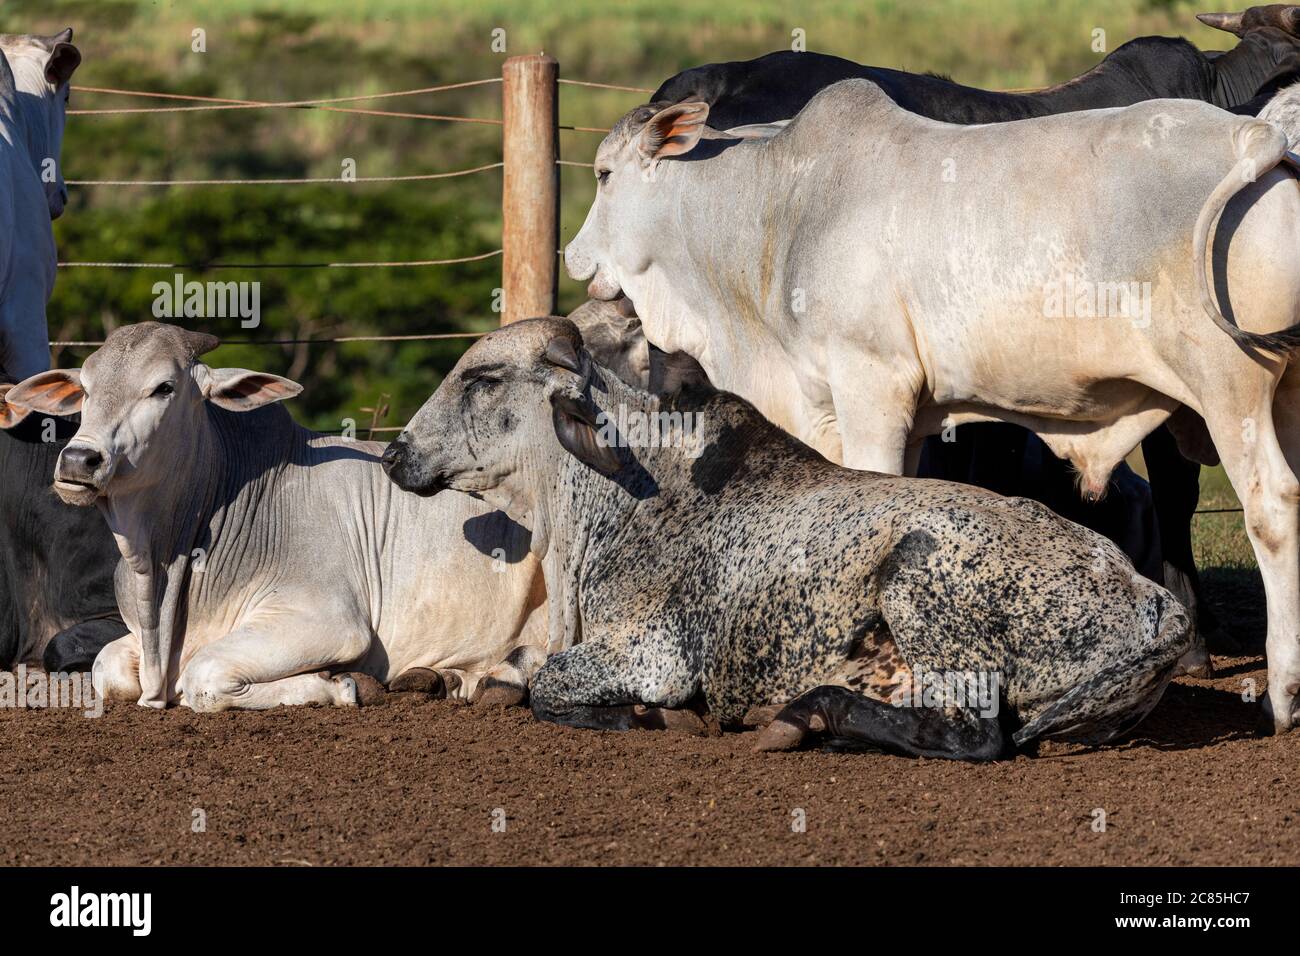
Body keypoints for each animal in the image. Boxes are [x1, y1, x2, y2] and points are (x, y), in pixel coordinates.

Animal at [381, 318, 1193, 759]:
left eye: (483, 379)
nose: (393, 454)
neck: (618, 495)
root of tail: (1152, 599)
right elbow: (512, 674)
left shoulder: (656, 654)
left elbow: (551, 686)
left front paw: (650, 718)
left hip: (919, 578)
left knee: (972, 735)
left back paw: (806, 716)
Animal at [563, 84, 1300, 731]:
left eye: (603, 174)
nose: (572, 257)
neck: (782, 211)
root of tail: (1254, 136)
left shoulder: (872, 386)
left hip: (1229, 384)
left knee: (1272, 508)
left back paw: (1281, 699)